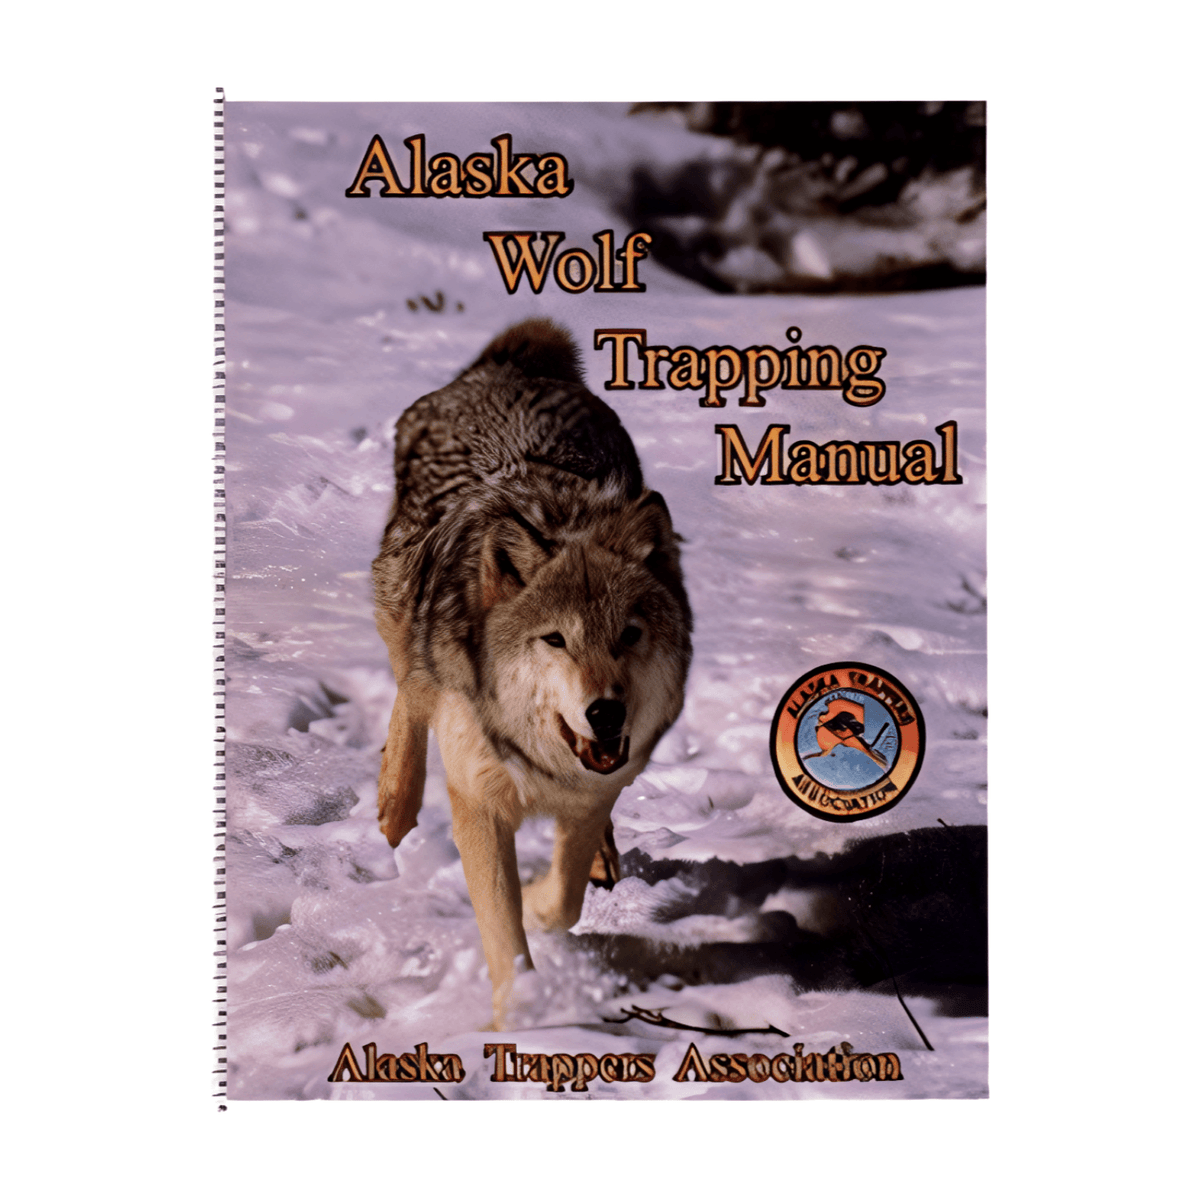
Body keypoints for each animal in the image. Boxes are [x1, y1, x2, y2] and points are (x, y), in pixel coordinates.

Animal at [372, 319, 692, 1026]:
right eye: (555, 640)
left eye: (629, 635)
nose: (606, 711)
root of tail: (507, 364)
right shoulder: (479, 804)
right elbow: (502, 928)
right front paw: (521, 1015)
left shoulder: (597, 786)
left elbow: (564, 898)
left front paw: (547, 903)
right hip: (402, 602)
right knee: (410, 682)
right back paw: (394, 804)